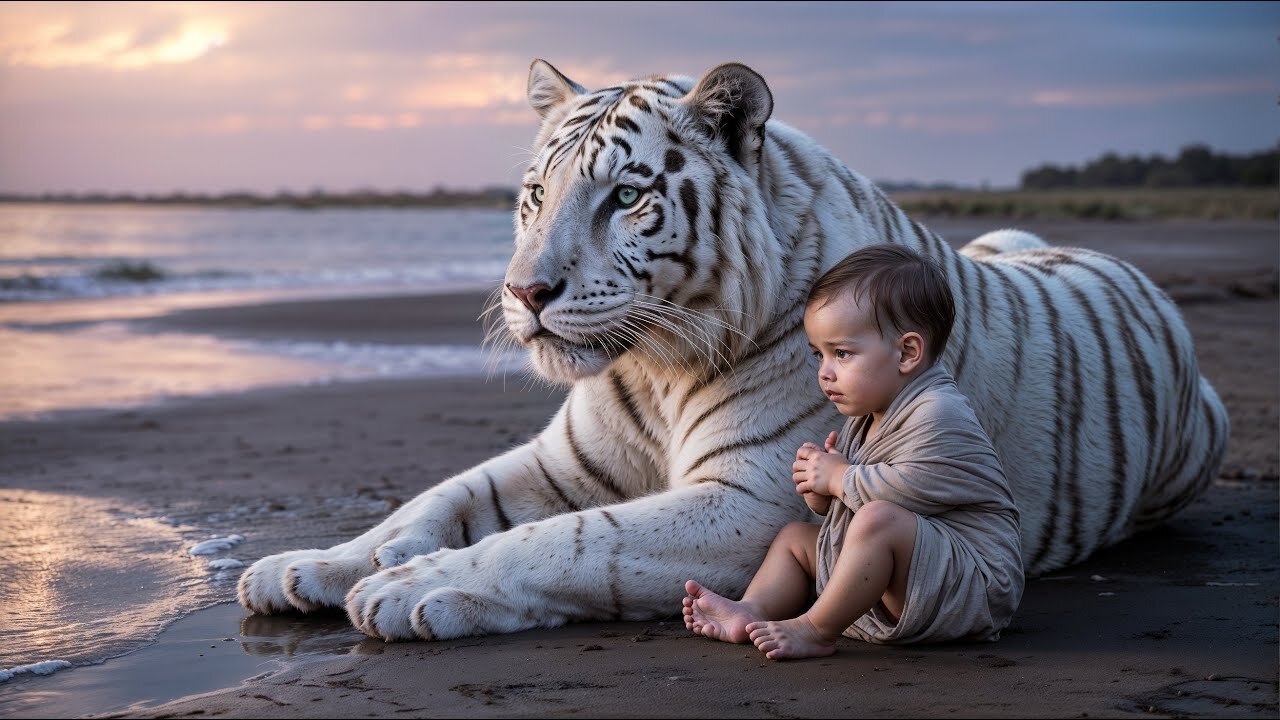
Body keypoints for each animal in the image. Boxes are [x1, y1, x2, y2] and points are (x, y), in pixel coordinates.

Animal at [237, 60, 1229, 641]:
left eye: (625, 197)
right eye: (536, 195)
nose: (525, 294)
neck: (651, 364)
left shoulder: (750, 500)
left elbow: (571, 543)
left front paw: (413, 589)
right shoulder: (562, 464)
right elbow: (433, 501)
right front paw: (308, 567)